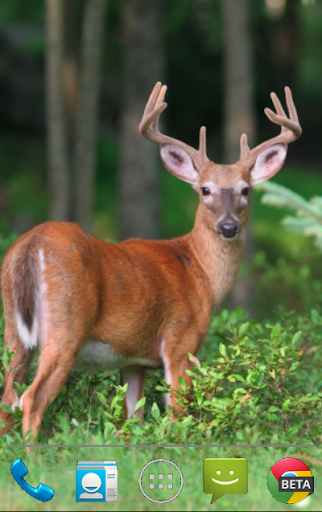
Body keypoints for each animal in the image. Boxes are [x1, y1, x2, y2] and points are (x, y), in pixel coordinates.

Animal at [0, 83, 302, 440]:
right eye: (205, 190)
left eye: (245, 190)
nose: (228, 227)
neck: (200, 271)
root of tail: (31, 244)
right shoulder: (181, 341)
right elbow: (177, 416)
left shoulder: (134, 360)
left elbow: (134, 420)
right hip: (66, 325)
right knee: (31, 399)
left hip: (14, 331)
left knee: (7, 398)